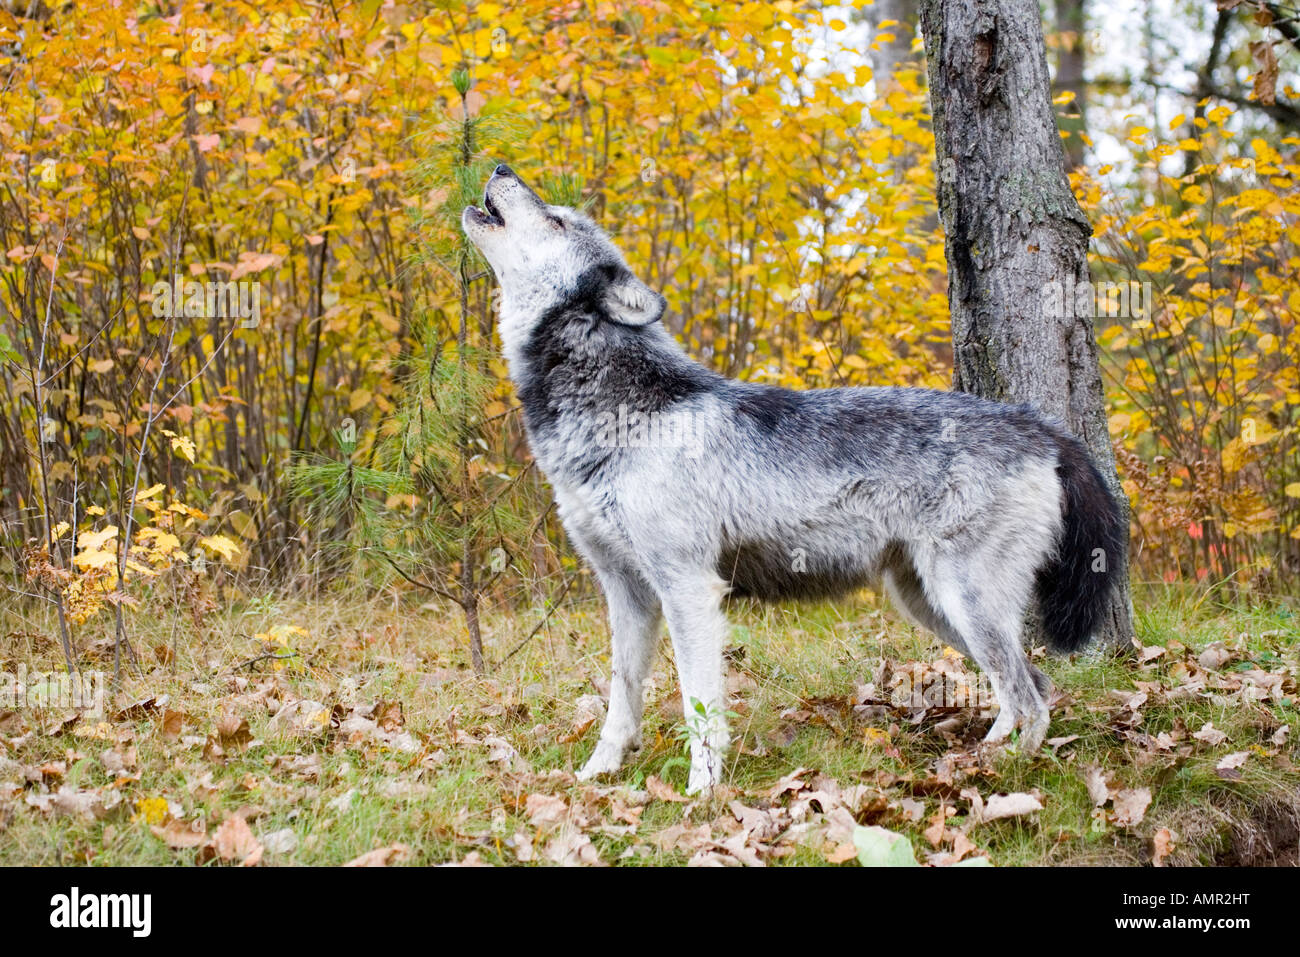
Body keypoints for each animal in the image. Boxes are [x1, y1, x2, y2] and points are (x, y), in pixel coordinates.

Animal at [463, 165, 1123, 794]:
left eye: (556, 220)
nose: (499, 168)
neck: (626, 410)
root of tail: (1044, 429)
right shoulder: (627, 592)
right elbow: (620, 700)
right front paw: (595, 777)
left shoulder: (688, 590)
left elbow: (700, 708)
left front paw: (701, 795)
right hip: (931, 605)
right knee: (1032, 685)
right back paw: (982, 760)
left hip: (964, 604)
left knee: (1033, 700)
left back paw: (1002, 776)